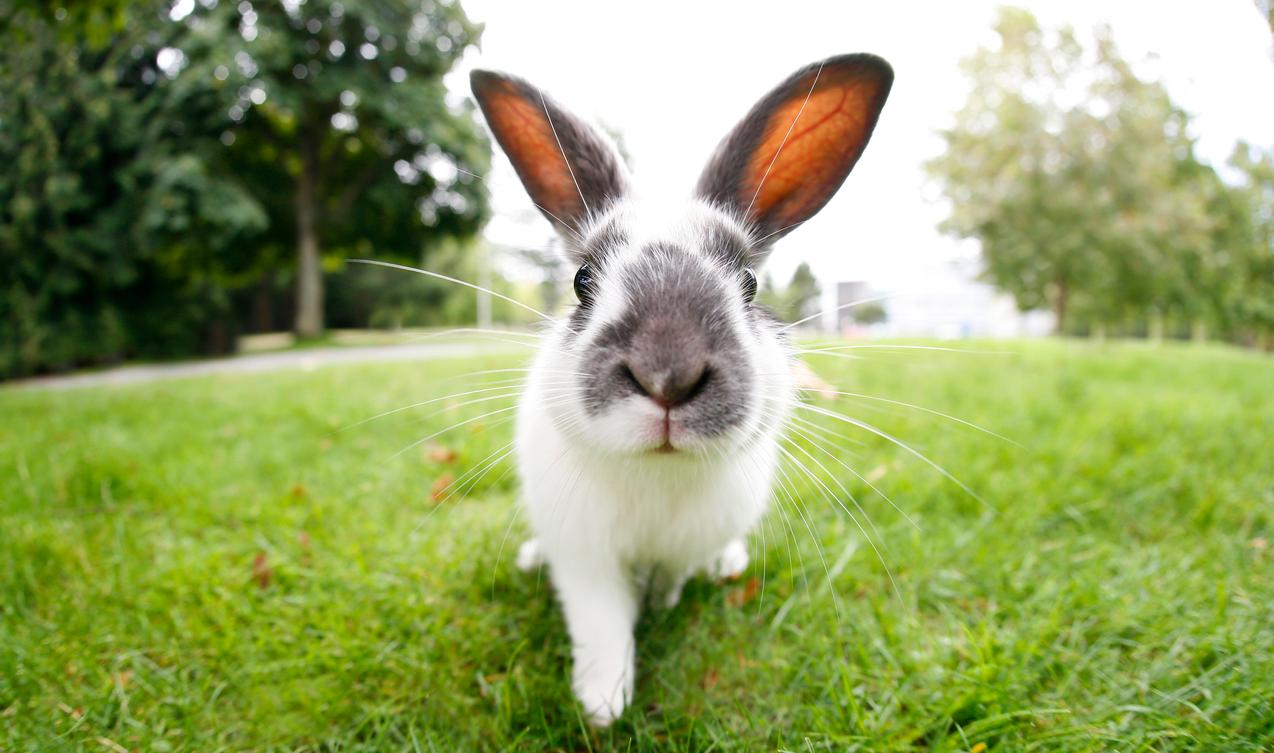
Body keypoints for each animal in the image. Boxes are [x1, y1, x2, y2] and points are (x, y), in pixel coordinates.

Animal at [469, 53, 893, 726]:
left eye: (749, 284)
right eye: (582, 281)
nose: (667, 375)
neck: (657, 474)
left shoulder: (682, 547)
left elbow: (668, 581)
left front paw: (660, 609)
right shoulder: (586, 560)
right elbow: (603, 625)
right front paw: (602, 704)